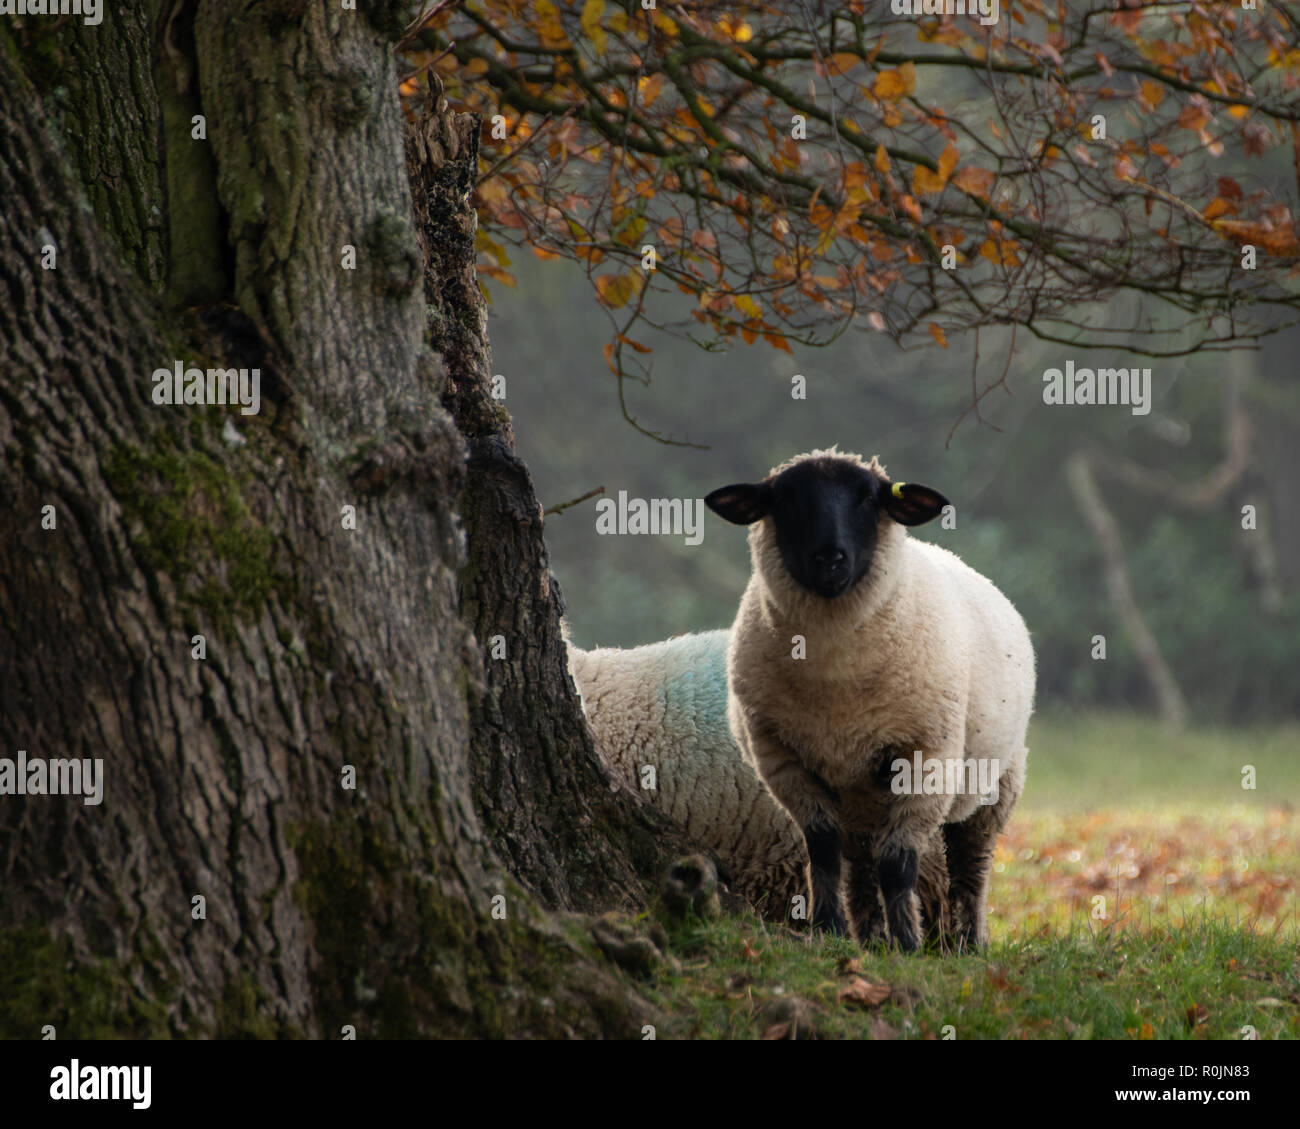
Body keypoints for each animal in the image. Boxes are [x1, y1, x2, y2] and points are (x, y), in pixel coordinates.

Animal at [705, 448, 1035, 951]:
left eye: (867, 498)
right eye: (786, 498)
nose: (829, 558)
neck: (835, 680)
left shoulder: (924, 756)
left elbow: (898, 862)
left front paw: (909, 943)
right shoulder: (781, 757)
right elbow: (823, 850)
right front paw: (830, 929)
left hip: (996, 782)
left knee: (970, 865)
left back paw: (968, 942)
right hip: (857, 794)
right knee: (858, 863)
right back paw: (871, 937)